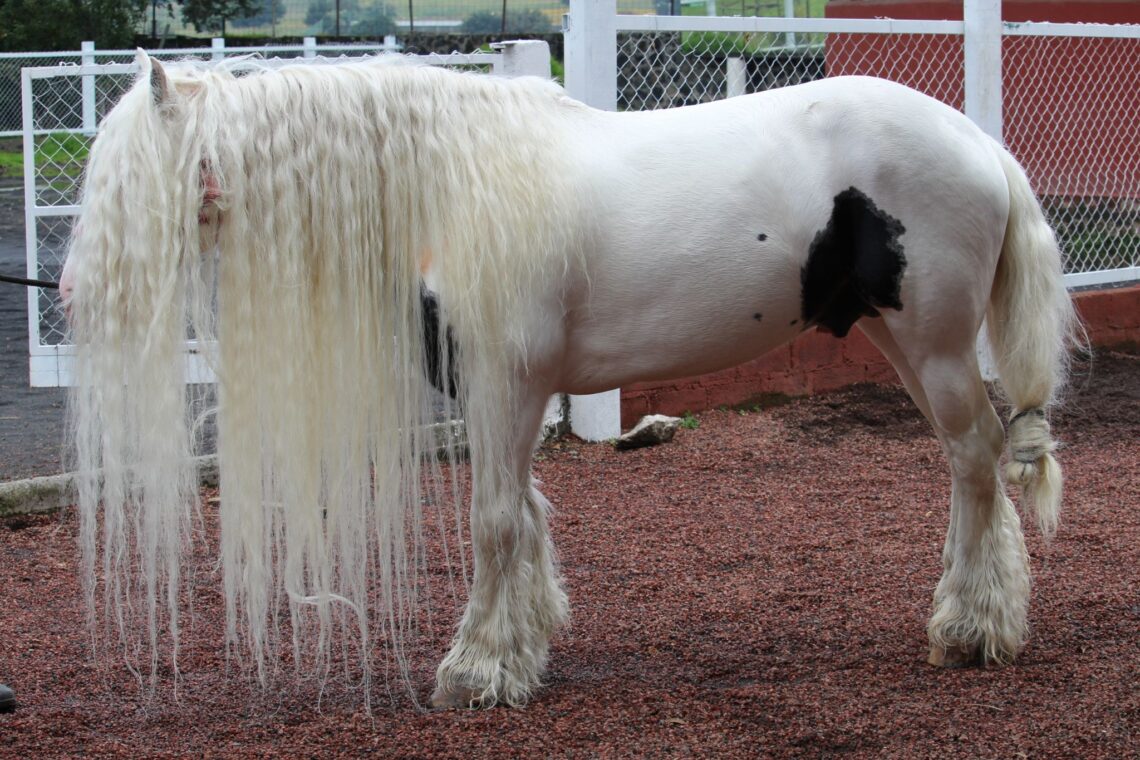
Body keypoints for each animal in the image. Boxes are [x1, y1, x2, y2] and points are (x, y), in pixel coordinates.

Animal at [60, 51, 1079, 709]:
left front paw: (475, 671)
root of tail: (981, 145)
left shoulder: (507, 383)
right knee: (966, 463)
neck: (451, 188)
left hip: (934, 343)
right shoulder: (505, 391)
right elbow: (528, 512)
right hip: (900, 342)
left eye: (131, 177)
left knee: (977, 461)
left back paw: (974, 629)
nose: (69, 292)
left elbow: (495, 521)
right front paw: (526, 646)